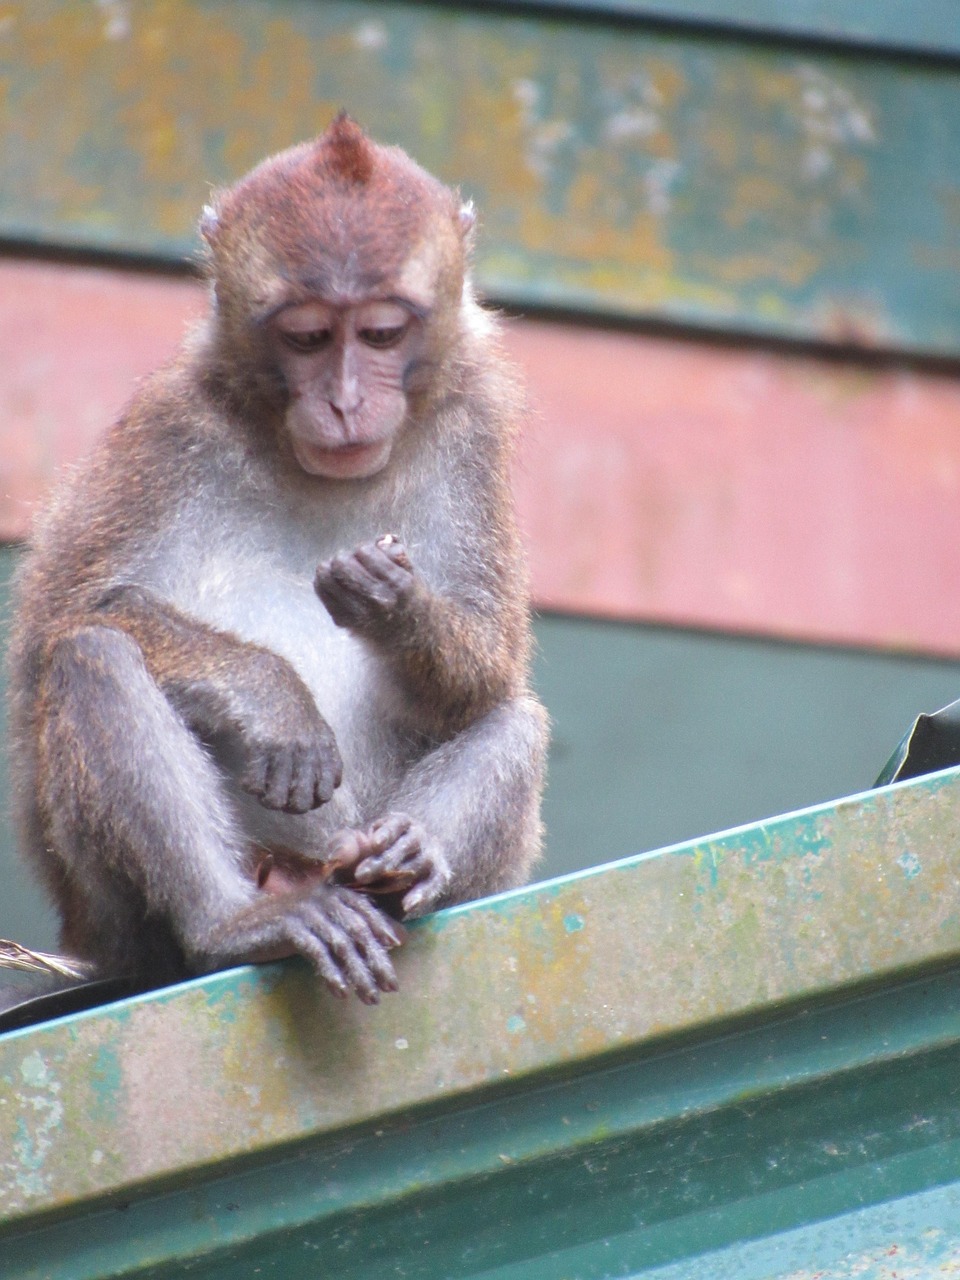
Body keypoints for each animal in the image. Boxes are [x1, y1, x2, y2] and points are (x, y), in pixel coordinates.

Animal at [6, 114, 548, 1006]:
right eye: (307, 337)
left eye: (381, 333)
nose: (345, 401)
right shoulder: (170, 426)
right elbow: (71, 615)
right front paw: (277, 701)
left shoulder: (473, 426)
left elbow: (485, 672)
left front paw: (395, 604)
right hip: (119, 918)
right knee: (92, 658)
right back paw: (235, 923)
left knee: (515, 717)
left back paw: (404, 860)